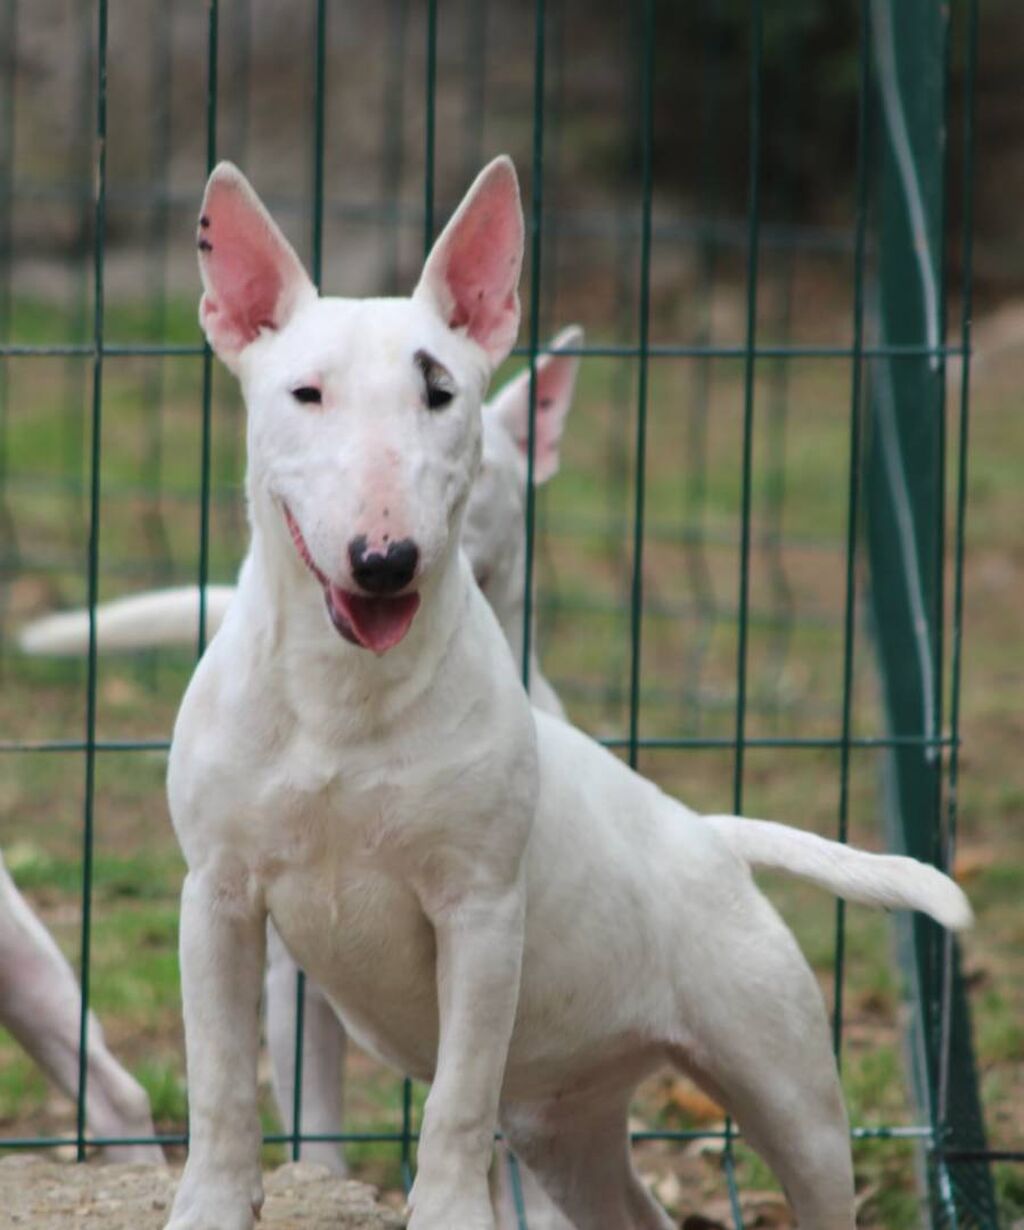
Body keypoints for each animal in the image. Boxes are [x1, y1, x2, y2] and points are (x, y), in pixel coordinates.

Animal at [159, 156, 968, 1230]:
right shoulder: (219, 897)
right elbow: (219, 1081)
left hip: (786, 1084)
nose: (386, 560)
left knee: (812, 1171)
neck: (345, 698)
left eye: (440, 390)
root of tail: (709, 833)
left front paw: (448, 1215)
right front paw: (211, 1203)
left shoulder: (480, 914)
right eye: (306, 392)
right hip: (562, 1123)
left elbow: (455, 1101)